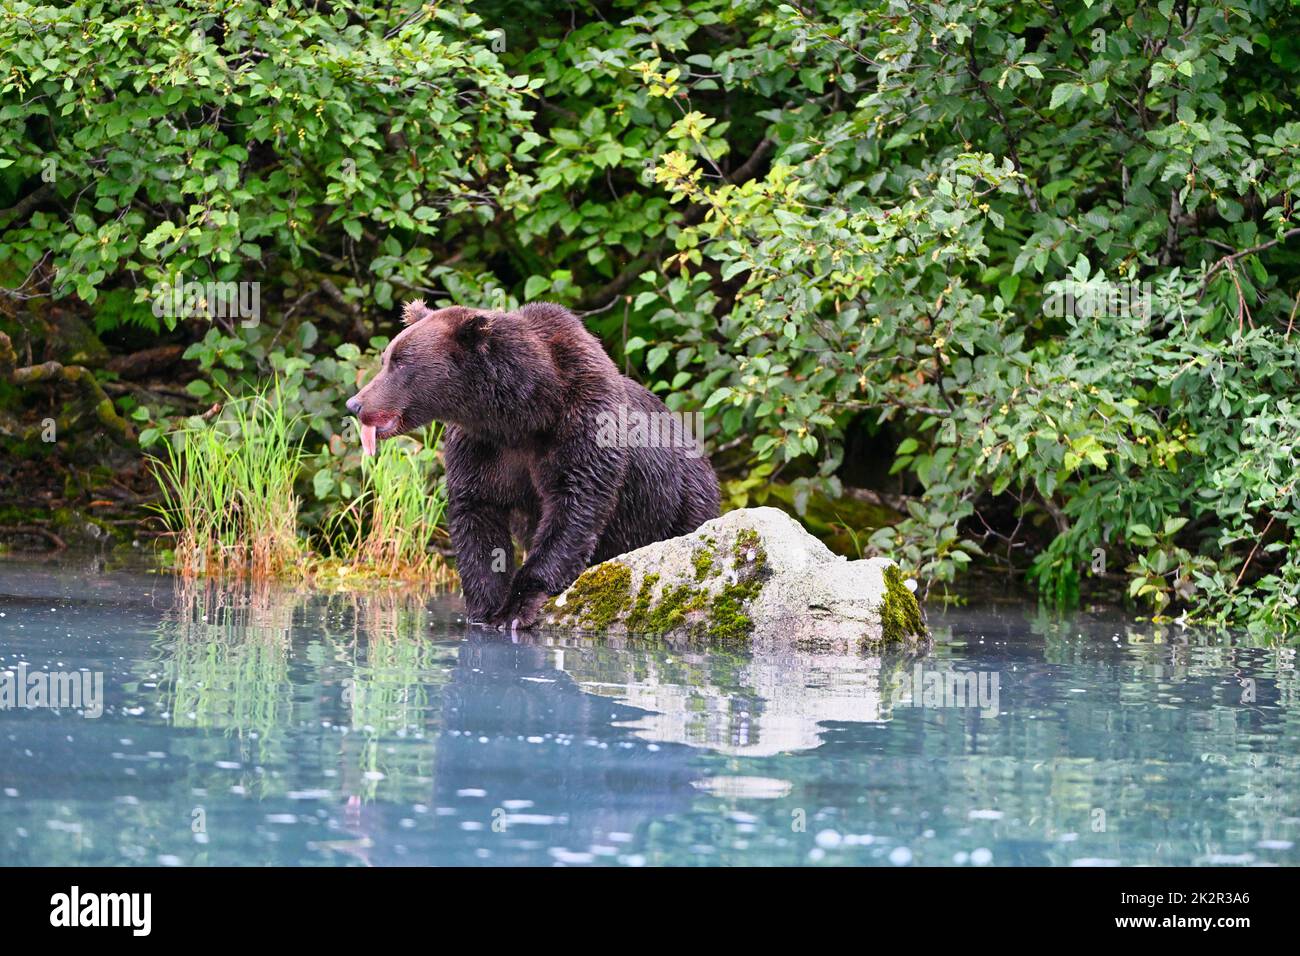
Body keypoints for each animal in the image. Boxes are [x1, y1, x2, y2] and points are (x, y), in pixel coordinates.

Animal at [346, 300, 721, 629]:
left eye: (401, 363)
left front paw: (515, 609)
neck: (522, 413)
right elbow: (477, 513)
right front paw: (484, 611)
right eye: (387, 358)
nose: (355, 403)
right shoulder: (479, 448)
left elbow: (574, 505)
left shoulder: (582, 424)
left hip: (682, 502)